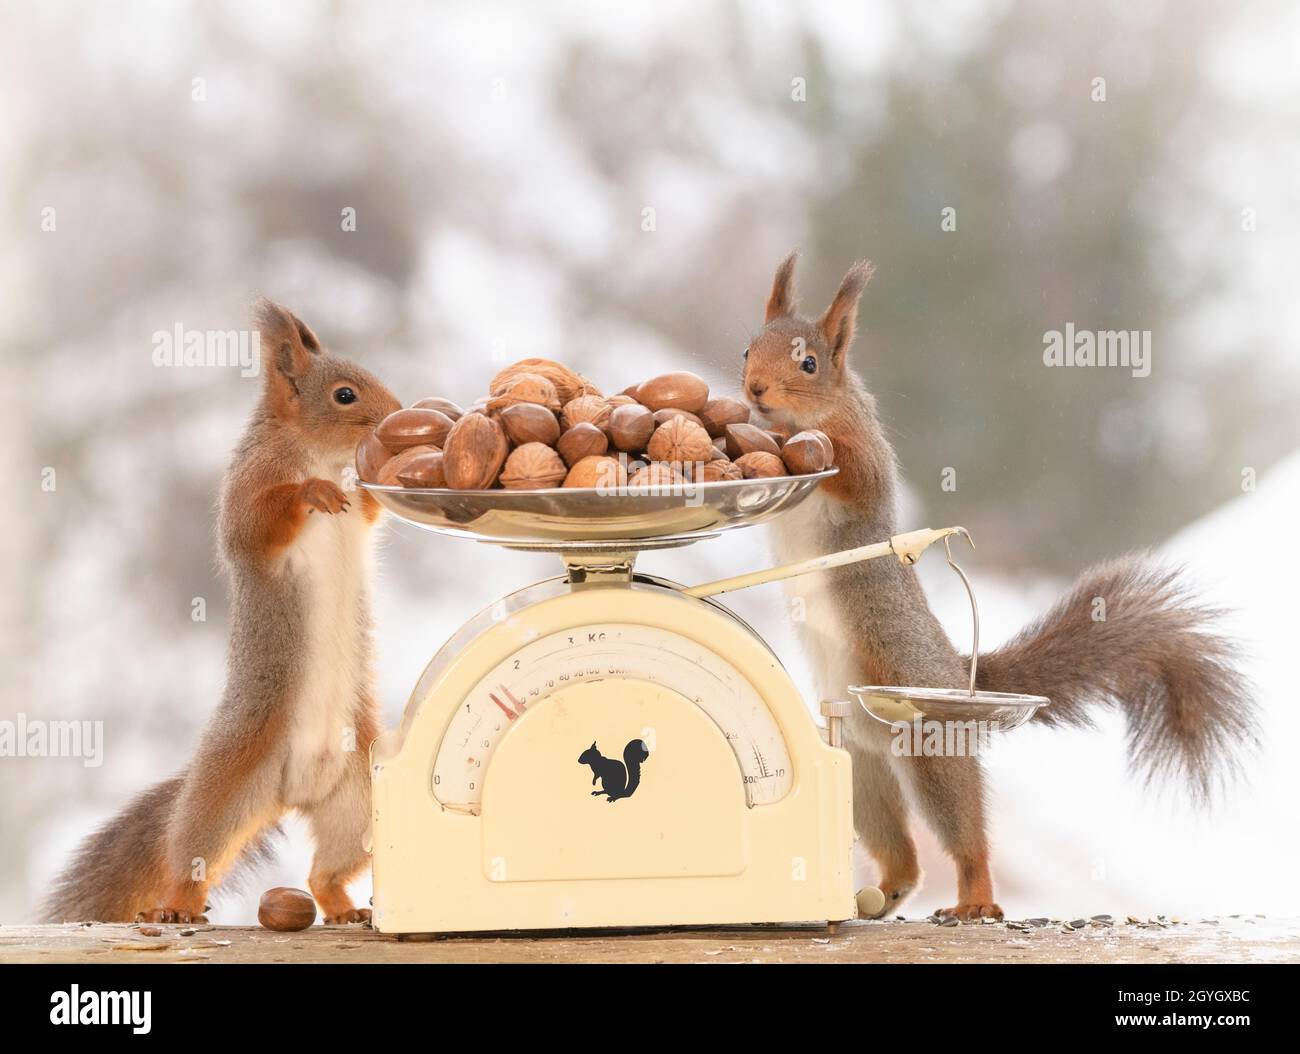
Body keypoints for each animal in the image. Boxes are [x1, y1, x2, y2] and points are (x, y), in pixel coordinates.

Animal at [42, 299, 401, 924]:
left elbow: (369, 508)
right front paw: (312, 492)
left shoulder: (360, 516)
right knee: (191, 853)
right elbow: (259, 524)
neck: (319, 456)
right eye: (345, 395)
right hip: (228, 785)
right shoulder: (250, 490)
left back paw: (342, 906)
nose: (397, 415)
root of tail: (291, 792)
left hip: (358, 797)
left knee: (323, 872)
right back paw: (179, 906)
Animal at [742, 251, 1257, 920]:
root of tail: (954, 672)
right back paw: (882, 893)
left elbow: (854, 472)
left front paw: (794, 442)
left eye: (808, 364)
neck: (825, 407)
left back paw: (975, 900)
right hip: (860, 759)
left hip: (929, 738)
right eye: (746, 349)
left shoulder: (866, 460)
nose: (753, 391)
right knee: (902, 850)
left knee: (965, 831)